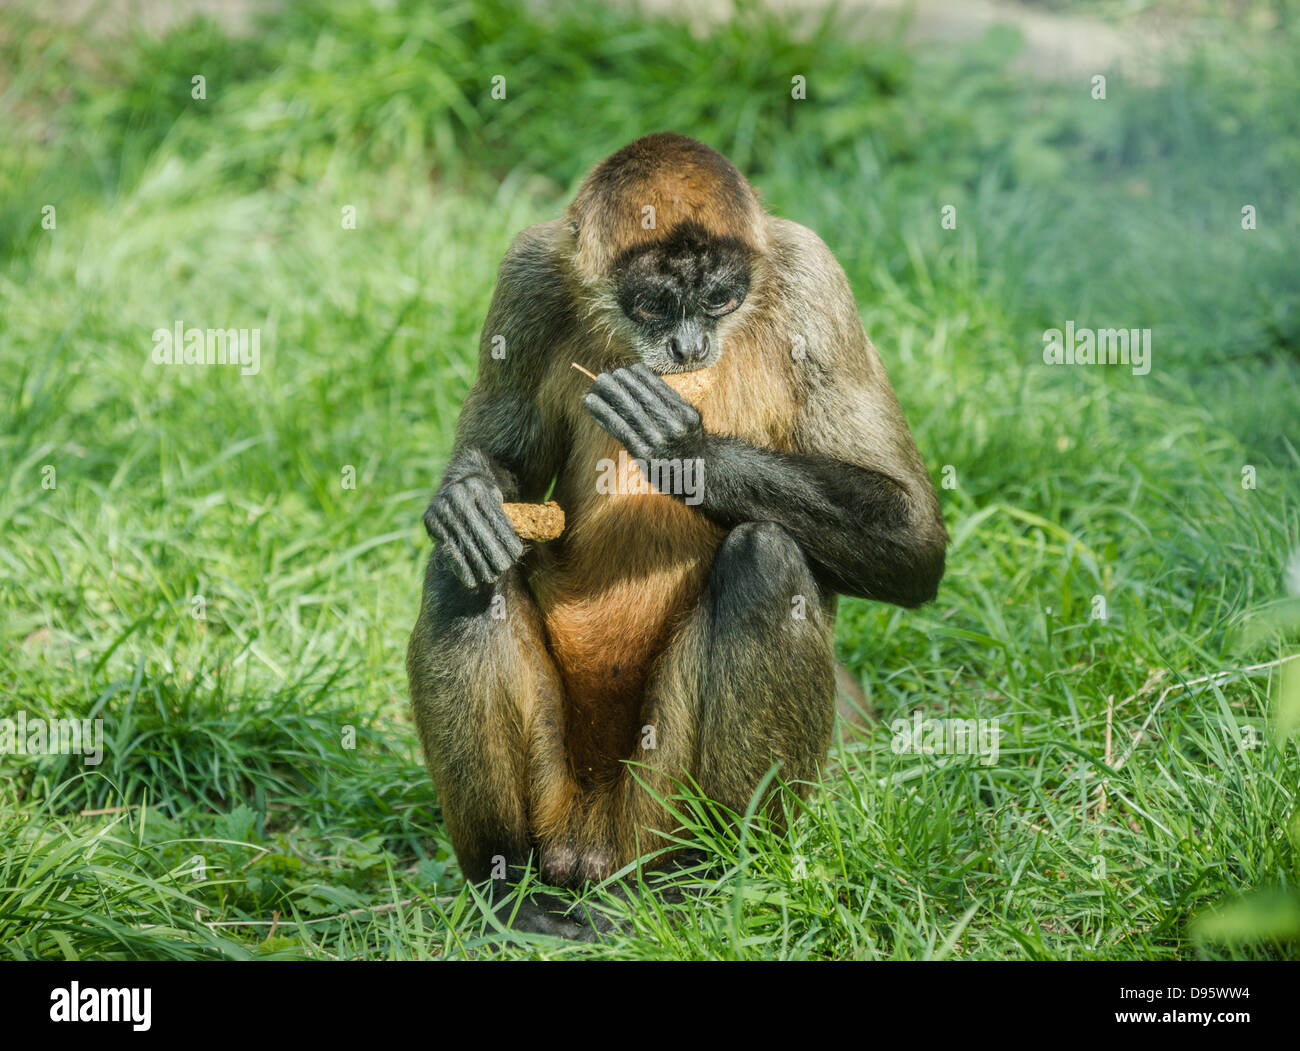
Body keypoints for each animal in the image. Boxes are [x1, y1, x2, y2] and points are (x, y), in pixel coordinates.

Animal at [407, 132, 946, 938]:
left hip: (658, 803)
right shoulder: (528, 271)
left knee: (765, 557)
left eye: (719, 297)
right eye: (657, 303)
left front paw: (686, 452)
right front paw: (466, 498)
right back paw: (511, 889)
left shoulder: (813, 274)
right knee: (462, 570)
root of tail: (594, 844)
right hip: (560, 787)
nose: (690, 348)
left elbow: (914, 541)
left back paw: (708, 881)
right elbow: (496, 485)